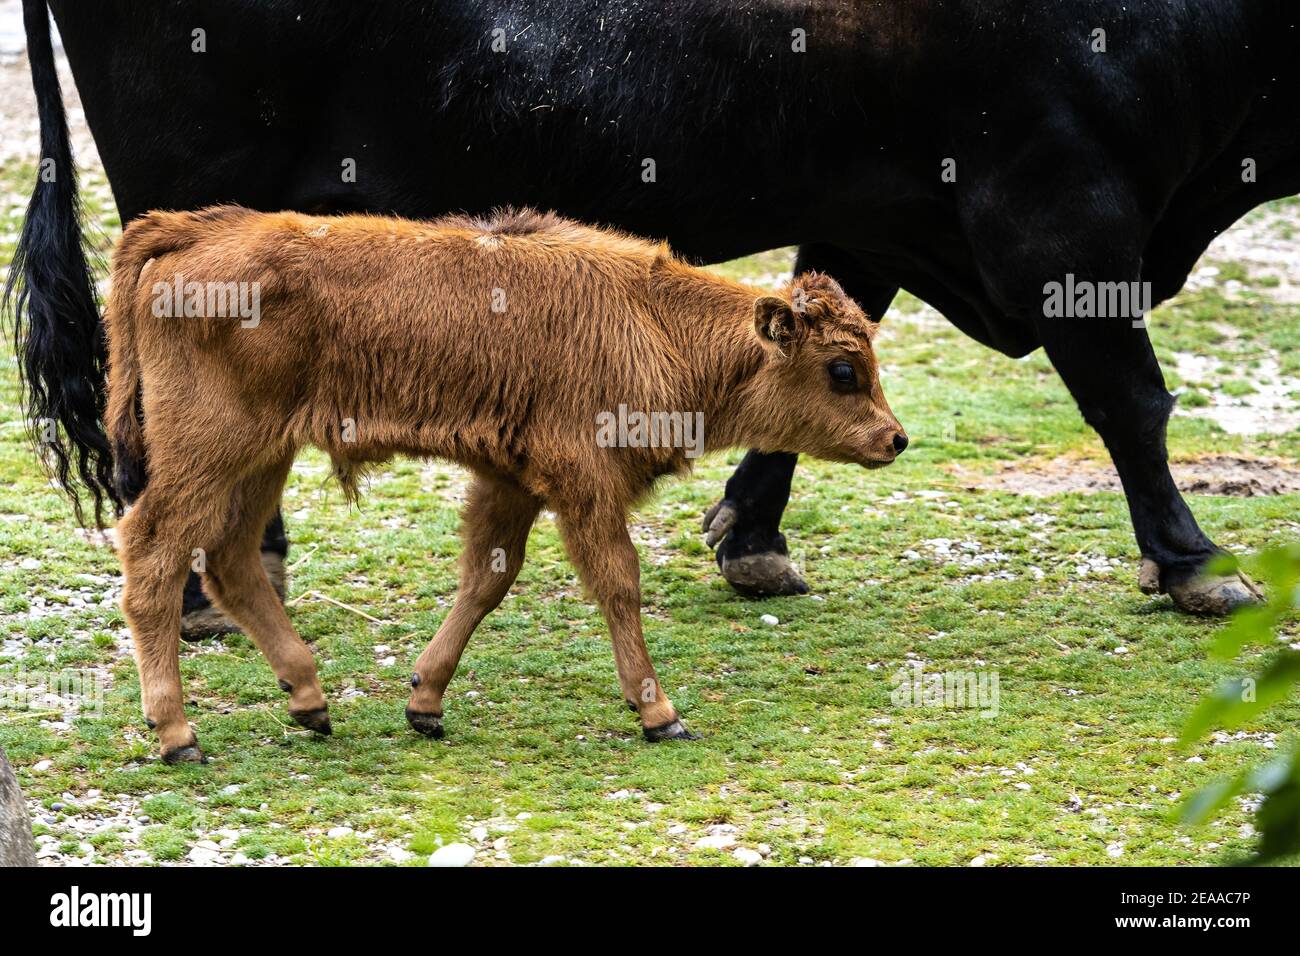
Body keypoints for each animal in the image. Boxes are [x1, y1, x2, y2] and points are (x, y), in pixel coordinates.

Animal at [6, 0, 1294, 622]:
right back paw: (198, 590)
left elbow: (812, 357)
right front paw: (1193, 561)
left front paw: (752, 534)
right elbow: (1130, 398)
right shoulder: (1057, 208)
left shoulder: (874, 213)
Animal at [103, 205, 905, 762]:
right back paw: (178, 735)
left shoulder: (510, 481)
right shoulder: (583, 483)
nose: (895, 438)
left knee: (232, 558)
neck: (651, 319)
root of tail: (187, 232)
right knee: (152, 551)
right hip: (210, 452)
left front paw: (425, 703)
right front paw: (661, 714)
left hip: (263, 456)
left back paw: (310, 700)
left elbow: (486, 578)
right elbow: (618, 581)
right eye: (842, 368)